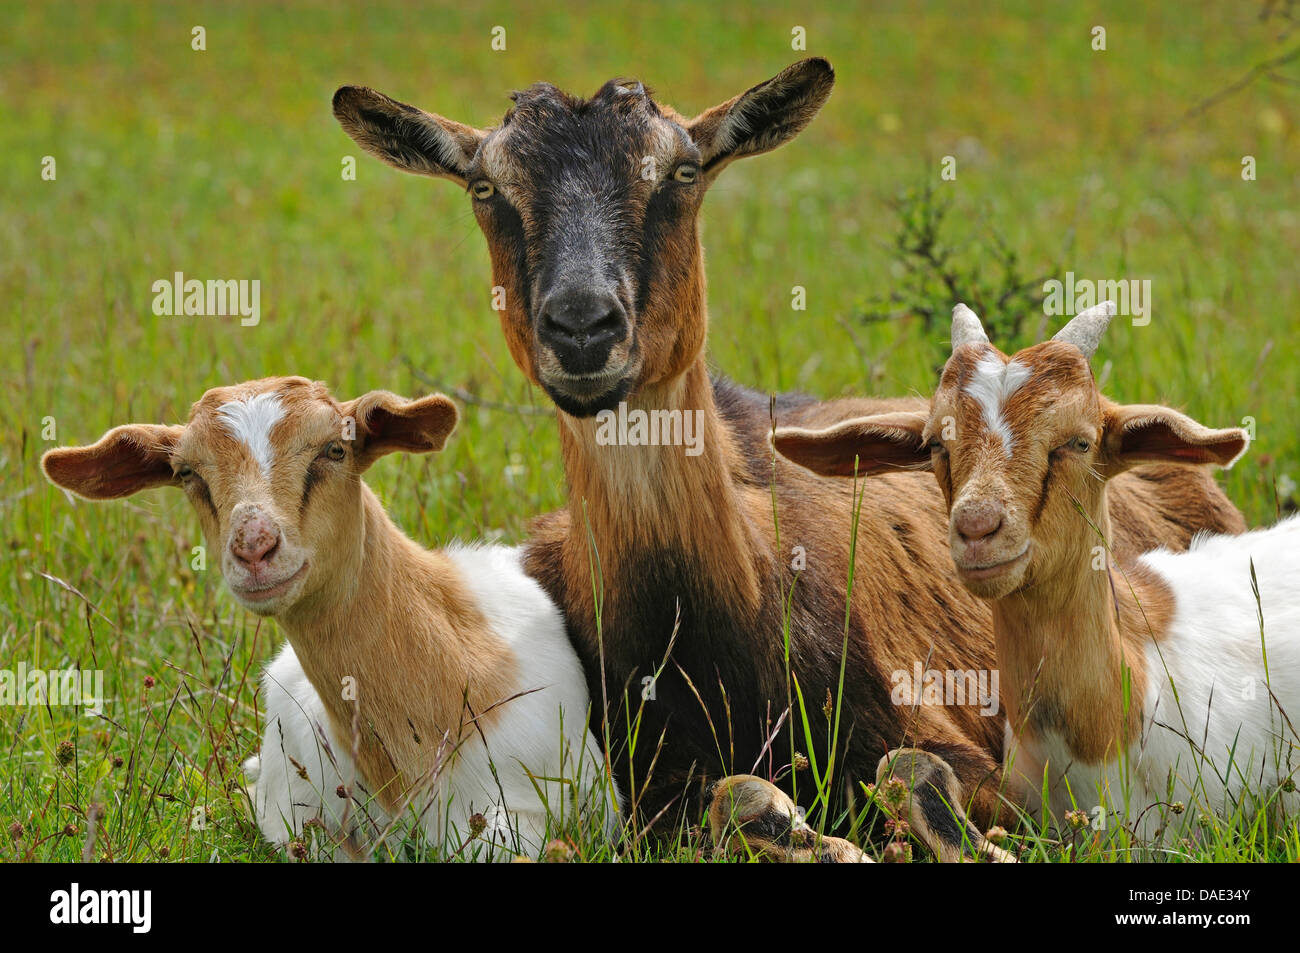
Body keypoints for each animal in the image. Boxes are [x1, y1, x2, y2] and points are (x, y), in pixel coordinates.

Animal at [332, 60, 1246, 857]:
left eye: (683, 172)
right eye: (487, 188)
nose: (583, 326)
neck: (704, 634)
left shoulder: (976, 749)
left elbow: (909, 773)